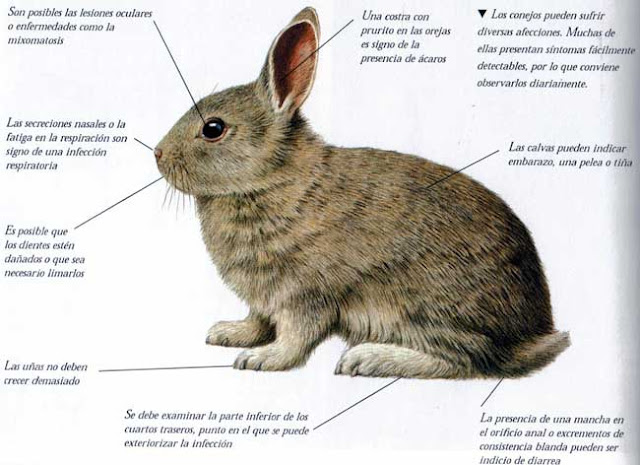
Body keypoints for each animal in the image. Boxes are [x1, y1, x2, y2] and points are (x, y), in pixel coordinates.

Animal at [154, 7, 569, 379]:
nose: (157, 154)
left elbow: (295, 335)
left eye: (213, 128)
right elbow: (258, 320)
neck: (269, 182)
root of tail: (533, 333)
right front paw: (229, 332)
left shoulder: (305, 293)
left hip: (422, 304)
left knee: (467, 358)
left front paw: (261, 359)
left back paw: (367, 358)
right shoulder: (265, 299)